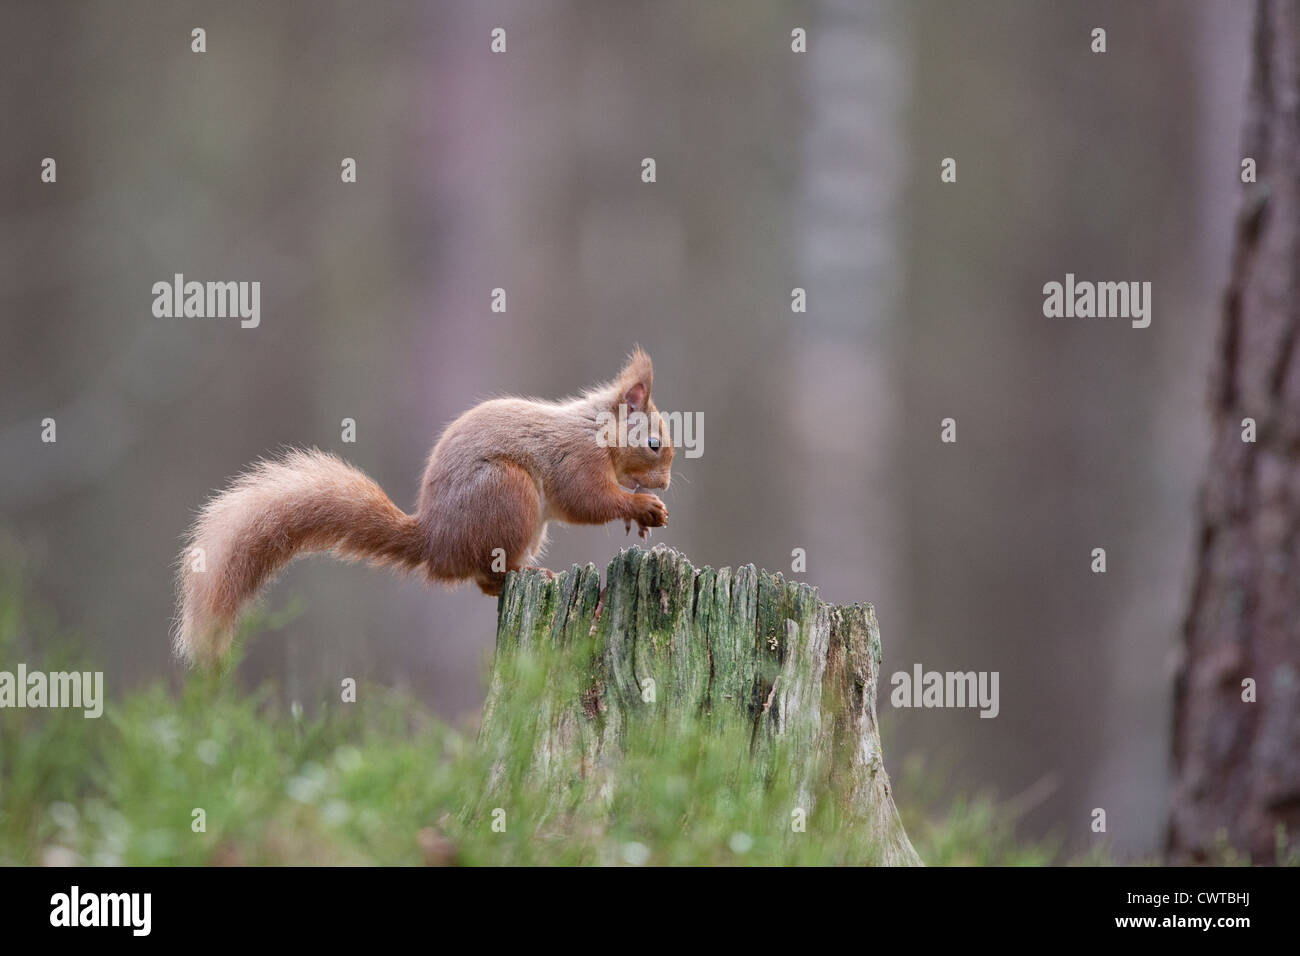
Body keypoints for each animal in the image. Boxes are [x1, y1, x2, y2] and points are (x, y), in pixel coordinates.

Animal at [174, 348, 673, 666]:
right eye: (653, 444)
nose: (666, 483)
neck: (596, 429)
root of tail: (435, 541)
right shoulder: (576, 460)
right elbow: (586, 501)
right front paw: (641, 506)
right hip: (508, 494)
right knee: (491, 573)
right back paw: (529, 572)